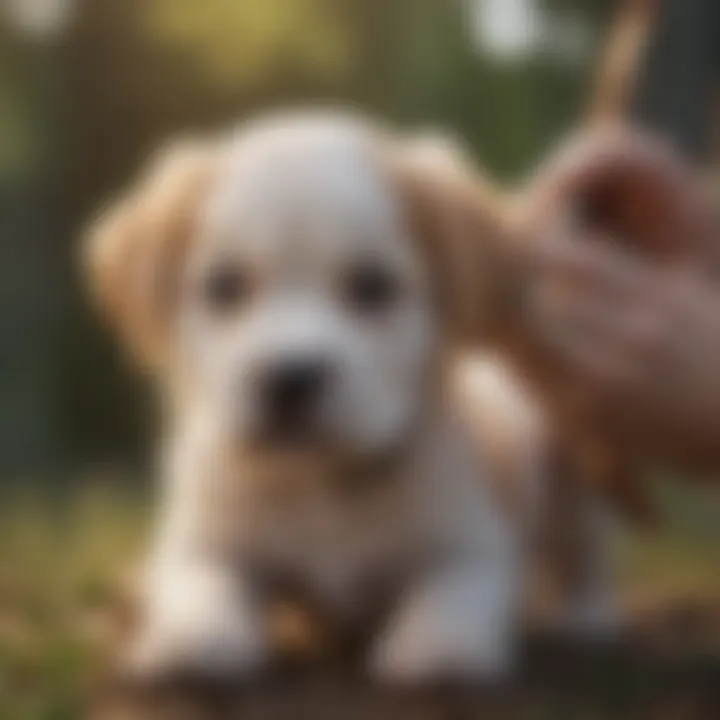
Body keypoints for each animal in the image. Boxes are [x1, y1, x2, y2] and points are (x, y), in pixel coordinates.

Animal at [87, 109, 532, 684]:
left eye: (373, 285)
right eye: (225, 285)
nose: (290, 377)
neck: (316, 483)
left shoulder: (470, 541)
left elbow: (454, 590)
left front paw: (439, 647)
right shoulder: (201, 542)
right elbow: (200, 584)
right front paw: (193, 639)